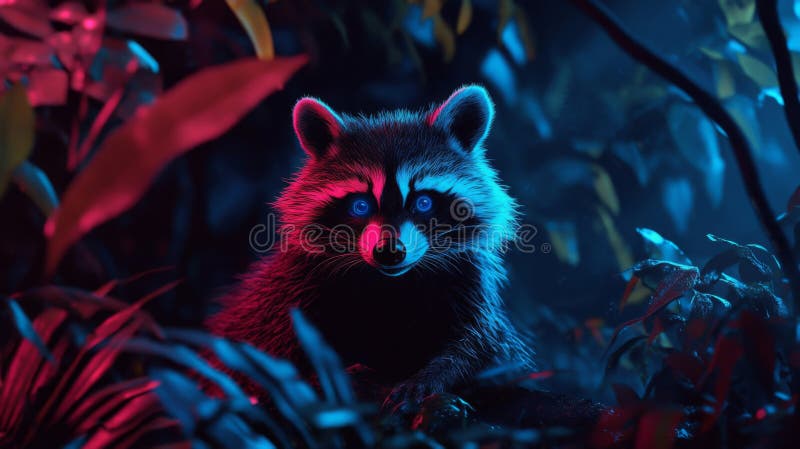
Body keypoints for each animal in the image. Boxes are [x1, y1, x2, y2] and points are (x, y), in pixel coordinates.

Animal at [208, 85, 534, 409]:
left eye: (423, 202)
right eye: (360, 205)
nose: (389, 252)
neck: (390, 282)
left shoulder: (469, 281)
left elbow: (484, 346)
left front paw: (436, 373)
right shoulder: (290, 291)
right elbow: (261, 361)